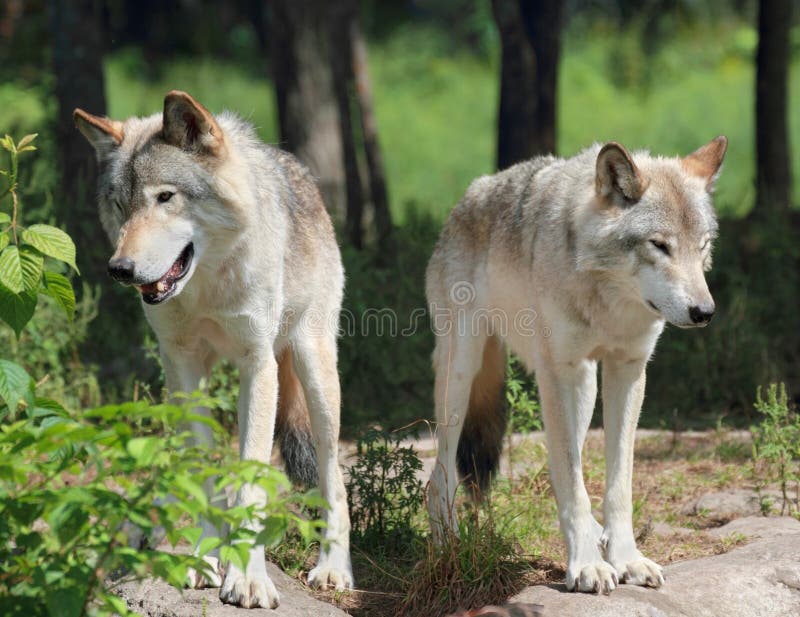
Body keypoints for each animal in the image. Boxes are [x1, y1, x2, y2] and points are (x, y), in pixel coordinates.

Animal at [74, 91, 353, 608]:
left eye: (165, 197)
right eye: (121, 205)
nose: (120, 269)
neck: (204, 284)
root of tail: (295, 167)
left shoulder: (257, 365)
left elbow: (250, 483)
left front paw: (248, 579)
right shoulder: (181, 367)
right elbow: (201, 472)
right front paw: (204, 561)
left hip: (315, 374)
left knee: (332, 476)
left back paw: (332, 569)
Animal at [426, 137, 727, 594]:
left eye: (703, 245)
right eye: (659, 245)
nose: (704, 312)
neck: (609, 303)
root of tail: (470, 194)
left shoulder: (628, 369)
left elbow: (617, 484)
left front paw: (625, 559)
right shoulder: (556, 371)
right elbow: (571, 480)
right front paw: (586, 564)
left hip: (584, 387)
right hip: (463, 375)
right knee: (440, 475)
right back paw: (448, 547)